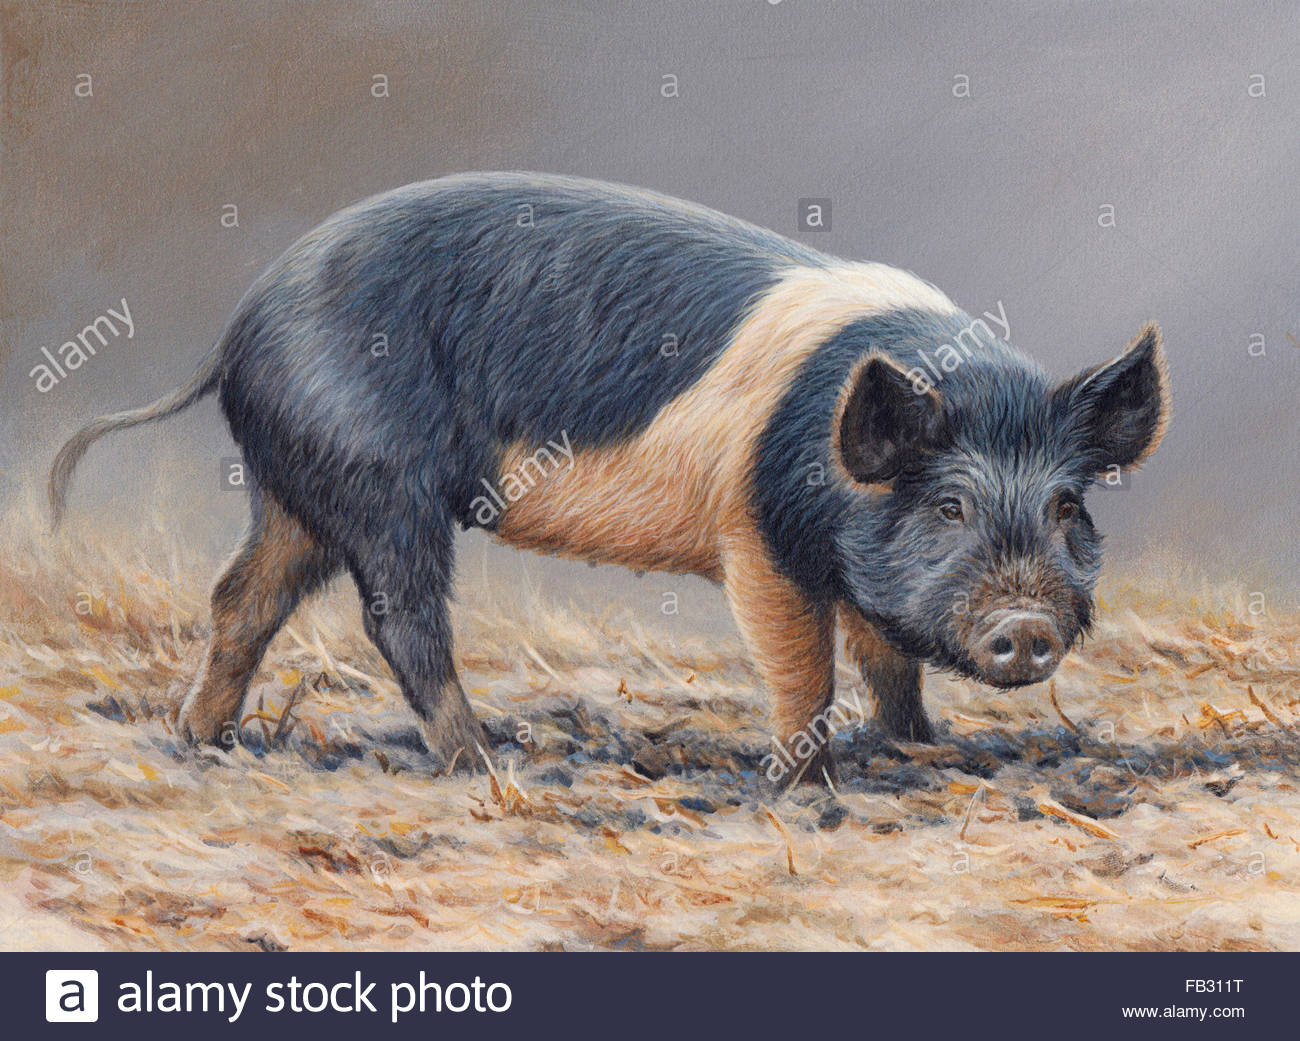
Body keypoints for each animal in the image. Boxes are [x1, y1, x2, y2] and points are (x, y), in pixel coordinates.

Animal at [49, 172, 1170, 785]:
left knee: (242, 596)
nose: (1026, 624)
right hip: (377, 478)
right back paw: (488, 761)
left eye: (1068, 507)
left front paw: (920, 746)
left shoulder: (845, 556)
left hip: (298, 489)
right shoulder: (756, 538)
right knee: (400, 618)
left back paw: (203, 741)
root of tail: (239, 330)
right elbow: (801, 667)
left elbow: (886, 655)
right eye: (947, 503)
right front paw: (811, 786)